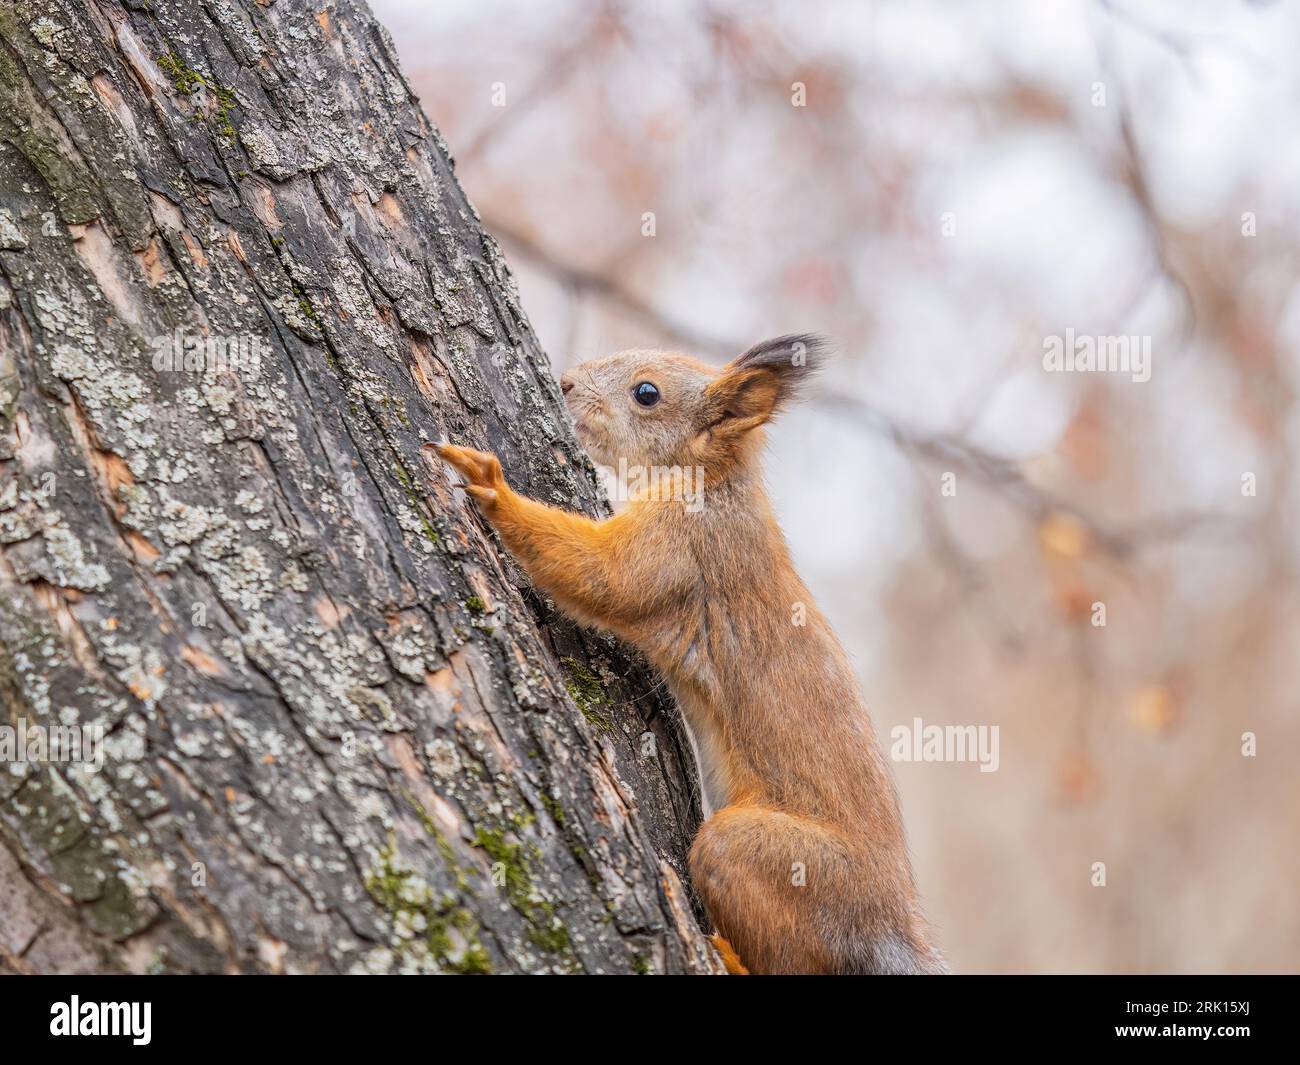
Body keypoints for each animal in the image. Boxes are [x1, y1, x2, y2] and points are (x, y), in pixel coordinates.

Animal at [428, 334, 945, 975]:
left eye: (647, 393)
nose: (566, 382)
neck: (712, 482)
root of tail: (885, 927)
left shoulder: (679, 548)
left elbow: (606, 577)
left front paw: (492, 488)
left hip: (766, 858)